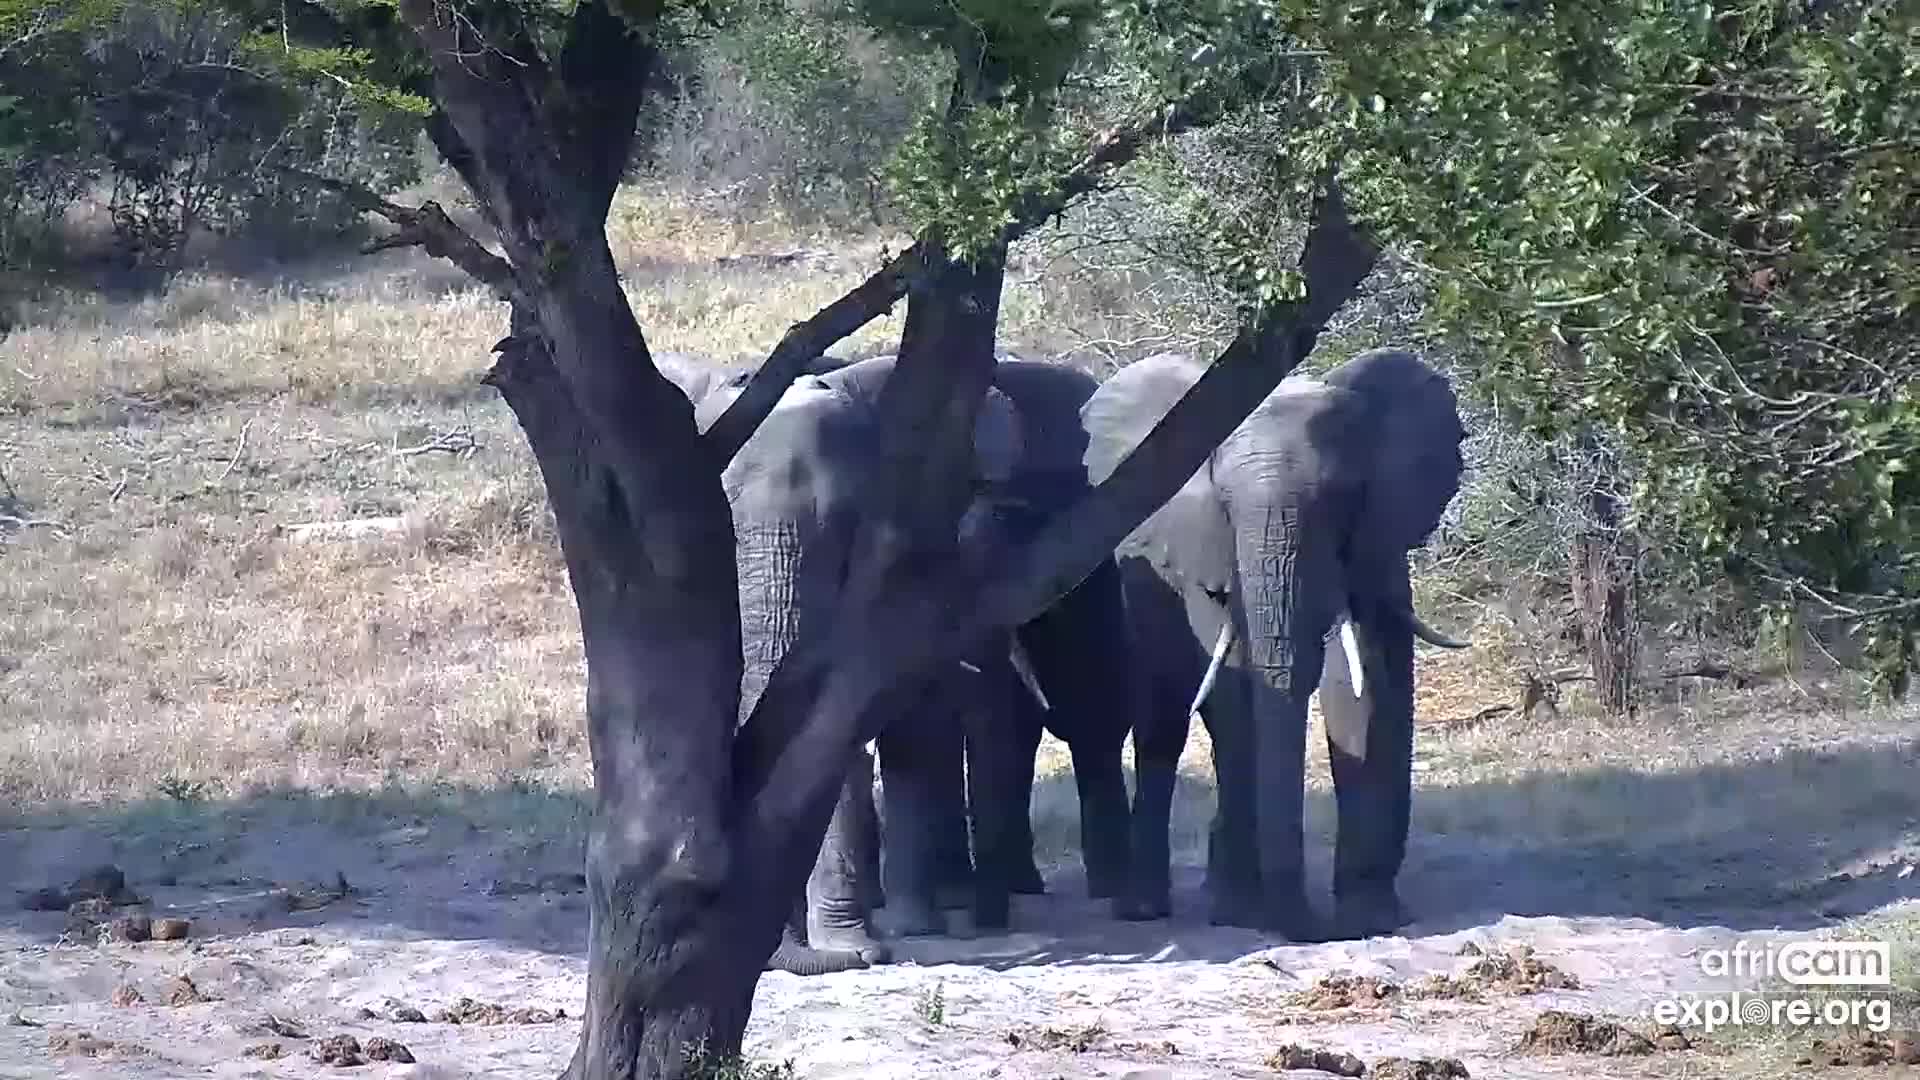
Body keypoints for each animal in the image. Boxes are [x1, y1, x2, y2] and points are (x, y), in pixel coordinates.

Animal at [1080, 347, 1470, 941]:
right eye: (1223, 503)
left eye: (1341, 498)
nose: (1319, 926)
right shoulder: (1206, 550)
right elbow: (1237, 683)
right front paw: (1246, 914)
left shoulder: (1375, 540)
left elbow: (1358, 679)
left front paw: (1370, 917)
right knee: (1164, 717)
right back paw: (1150, 906)